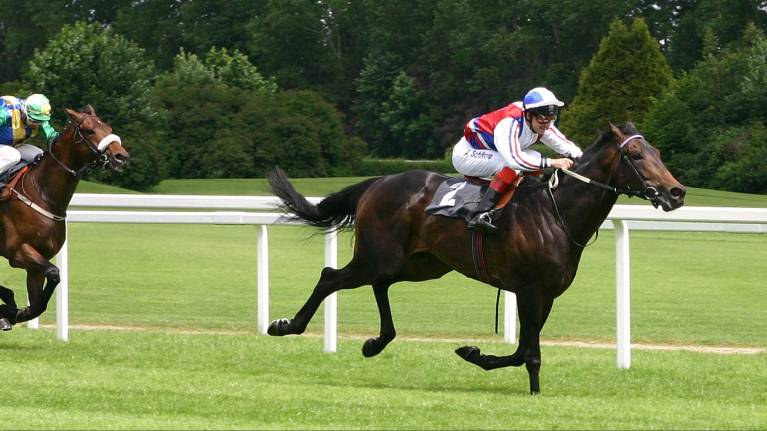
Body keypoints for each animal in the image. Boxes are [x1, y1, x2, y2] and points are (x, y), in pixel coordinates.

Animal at [0, 105, 129, 331]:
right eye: (89, 131)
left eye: (108, 127)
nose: (121, 156)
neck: (43, 194)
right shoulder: (18, 251)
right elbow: (53, 272)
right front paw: (7, 310)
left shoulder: (37, 262)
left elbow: (38, 303)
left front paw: (11, 313)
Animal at [266, 122, 685, 394]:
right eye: (635, 154)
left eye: (657, 153)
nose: (676, 192)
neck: (557, 211)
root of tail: (379, 182)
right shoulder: (530, 290)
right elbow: (530, 353)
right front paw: (534, 392)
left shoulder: (546, 294)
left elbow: (521, 350)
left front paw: (473, 353)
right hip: (379, 255)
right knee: (330, 276)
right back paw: (286, 326)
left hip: (420, 264)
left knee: (379, 284)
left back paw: (376, 342)